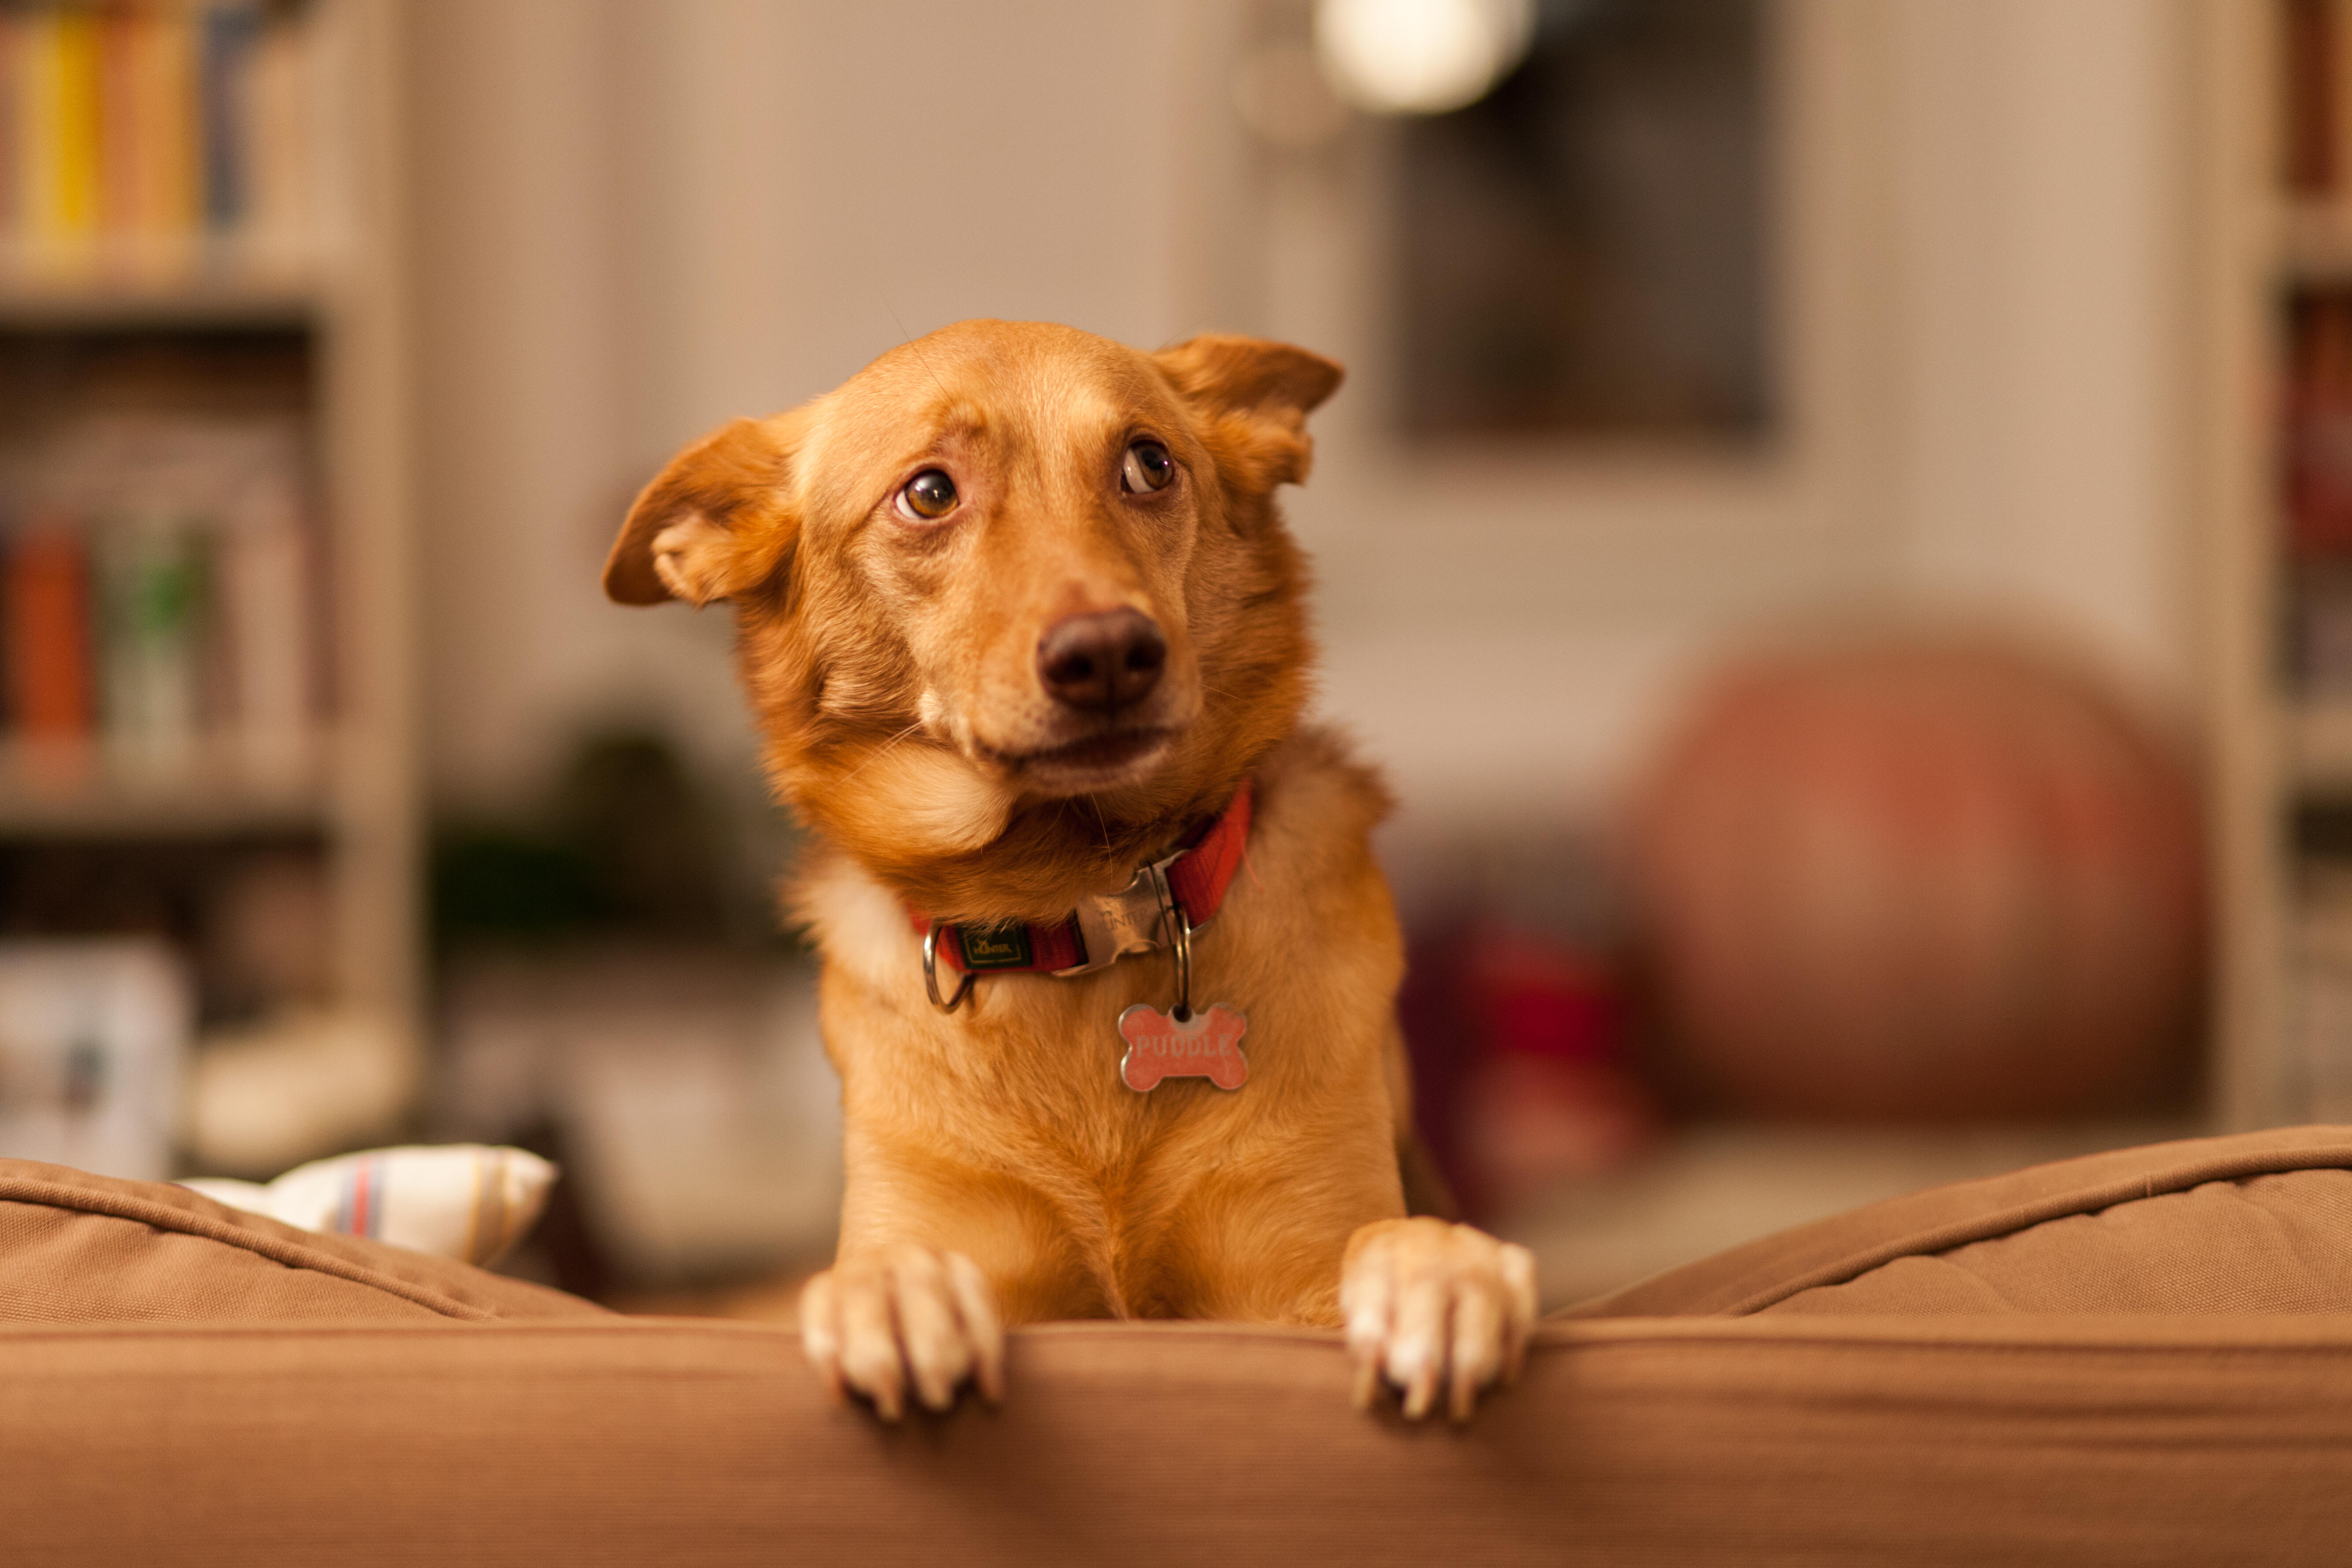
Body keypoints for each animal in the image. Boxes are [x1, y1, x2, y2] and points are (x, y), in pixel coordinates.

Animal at [597, 319, 1533, 1420]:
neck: (1075, 902)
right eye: (928, 493)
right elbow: (889, 1263)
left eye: (1149, 464)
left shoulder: (1288, 1271)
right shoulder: (956, 1230)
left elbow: (1383, 1240)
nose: (1109, 653)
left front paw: (1442, 1269)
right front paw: (893, 1293)